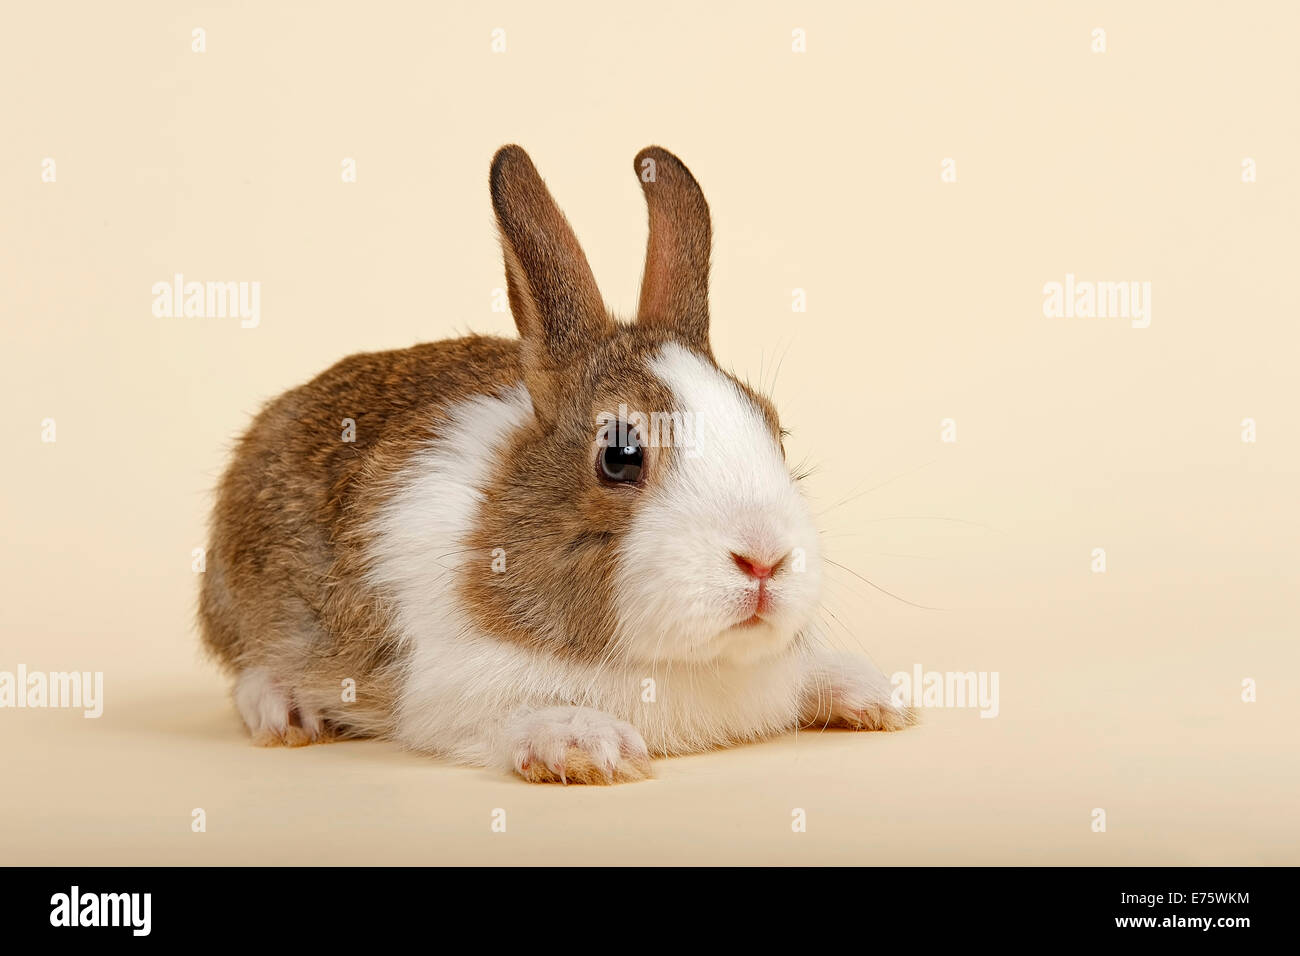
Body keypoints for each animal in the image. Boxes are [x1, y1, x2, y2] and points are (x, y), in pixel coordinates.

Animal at [198, 144, 913, 784]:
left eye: (775, 431)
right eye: (620, 455)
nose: (764, 560)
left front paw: (876, 696)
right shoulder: (446, 690)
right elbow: (506, 715)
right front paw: (587, 746)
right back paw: (284, 711)